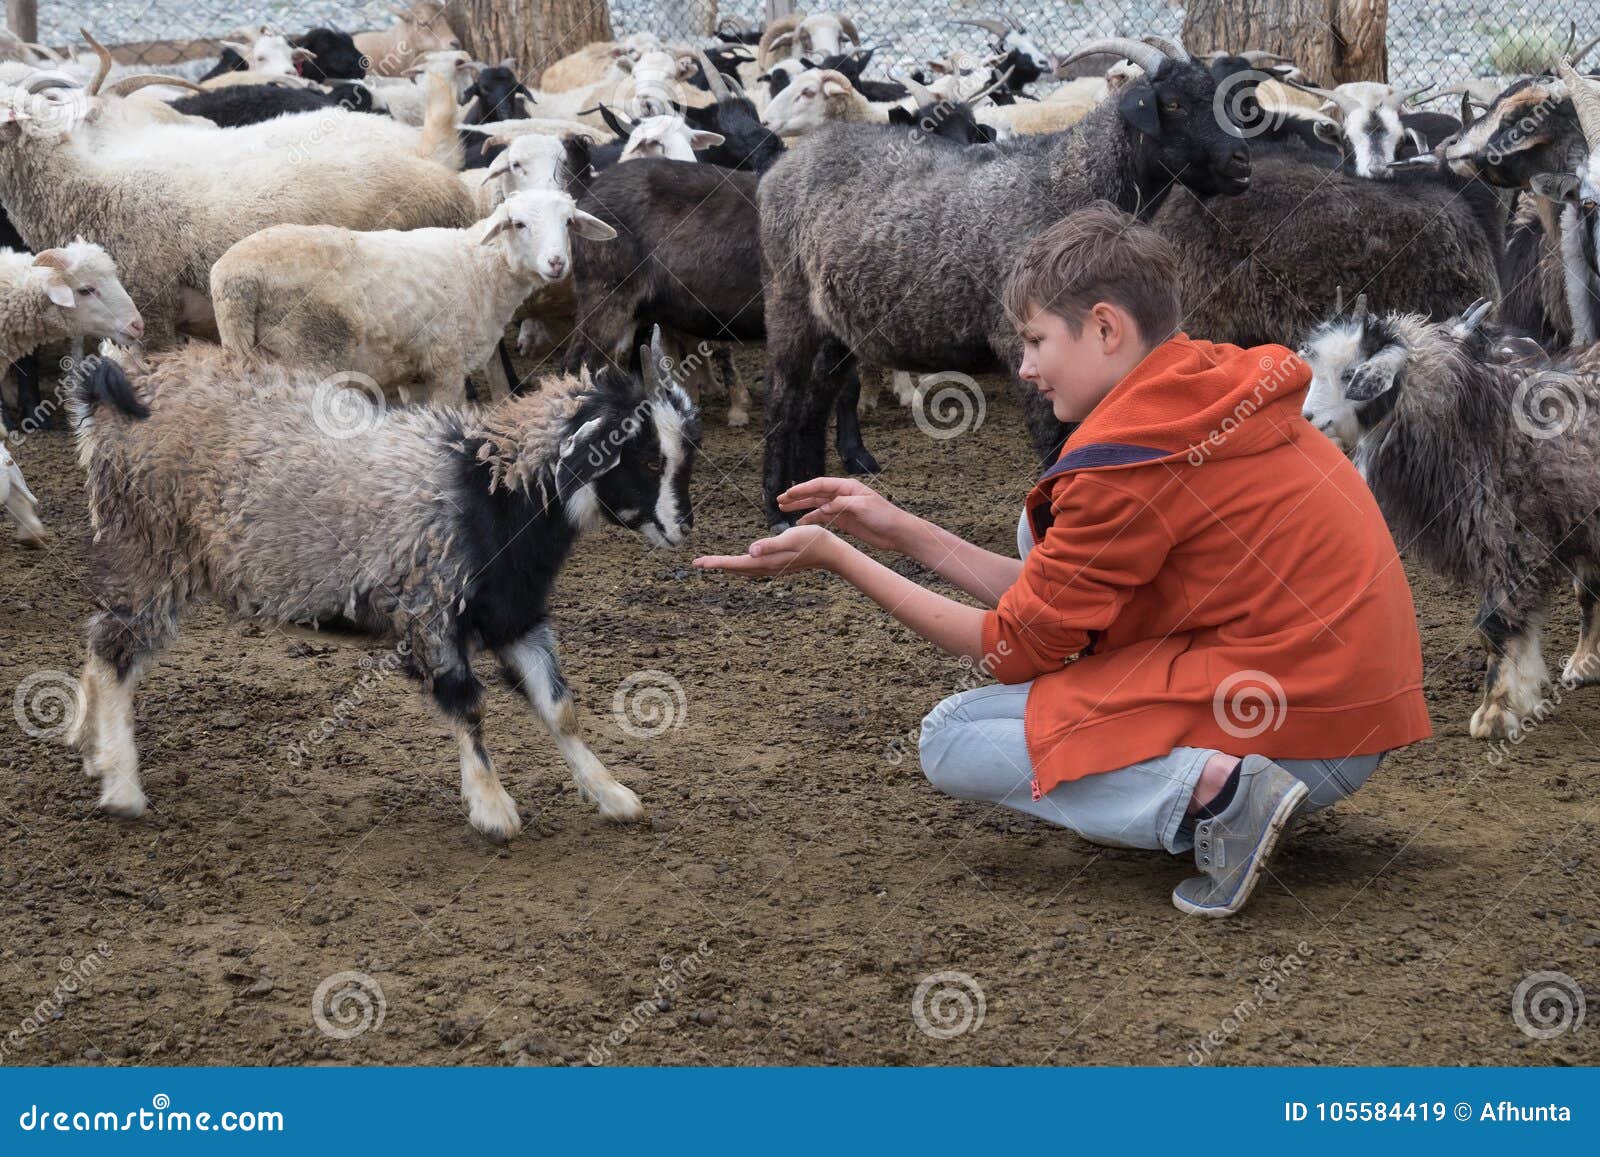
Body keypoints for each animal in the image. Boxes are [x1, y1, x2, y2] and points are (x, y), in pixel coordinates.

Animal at [66, 335, 697, 839]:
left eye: (683, 457)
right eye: (643, 459)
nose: (682, 529)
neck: (486, 485)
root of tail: (116, 385)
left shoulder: (515, 615)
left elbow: (561, 710)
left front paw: (613, 794)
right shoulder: (430, 608)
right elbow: (468, 705)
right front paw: (492, 806)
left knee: (104, 644)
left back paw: (94, 750)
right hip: (147, 549)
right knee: (113, 650)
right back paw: (121, 786)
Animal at [212, 189, 615, 405]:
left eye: (568, 222)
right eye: (518, 224)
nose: (557, 263)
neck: (478, 269)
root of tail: (234, 278)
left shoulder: (414, 373)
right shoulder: (446, 366)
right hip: (306, 352)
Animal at [758, 36, 1251, 525]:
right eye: (1172, 103)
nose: (1242, 163)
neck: (1067, 184)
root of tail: (786, 163)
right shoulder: (1025, 343)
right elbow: (1055, 442)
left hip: (835, 326)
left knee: (814, 405)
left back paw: (812, 503)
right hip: (787, 299)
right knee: (784, 400)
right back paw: (777, 509)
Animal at [1300, 298, 1600, 739]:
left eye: (1350, 374)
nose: (1307, 419)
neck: (1477, 426)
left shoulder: (1509, 537)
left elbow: (1496, 626)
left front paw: (1495, 712)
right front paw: (1522, 697)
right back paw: (1584, 662)